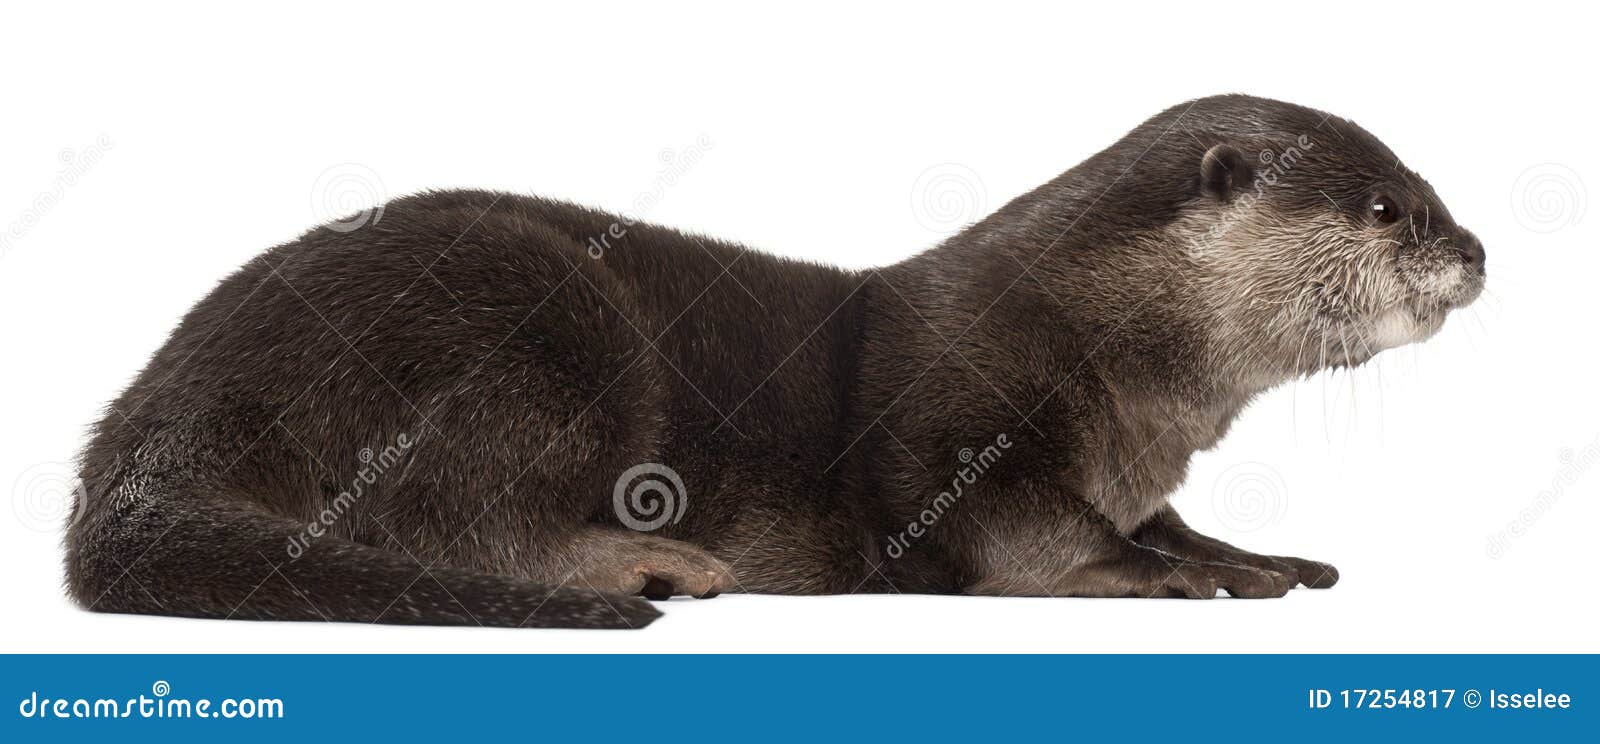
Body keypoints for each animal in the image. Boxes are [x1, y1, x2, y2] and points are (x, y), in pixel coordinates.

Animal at [66, 94, 1484, 628]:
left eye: (1431, 189)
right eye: (1386, 210)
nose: (1474, 252)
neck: (1109, 350)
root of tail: (164, 406)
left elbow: (1170, 521)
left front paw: (1262, 557)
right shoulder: (958, 416)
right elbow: (1024, 537)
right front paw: (1181, 579)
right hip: (530, 328)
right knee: (446, 510)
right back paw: (656, 567)